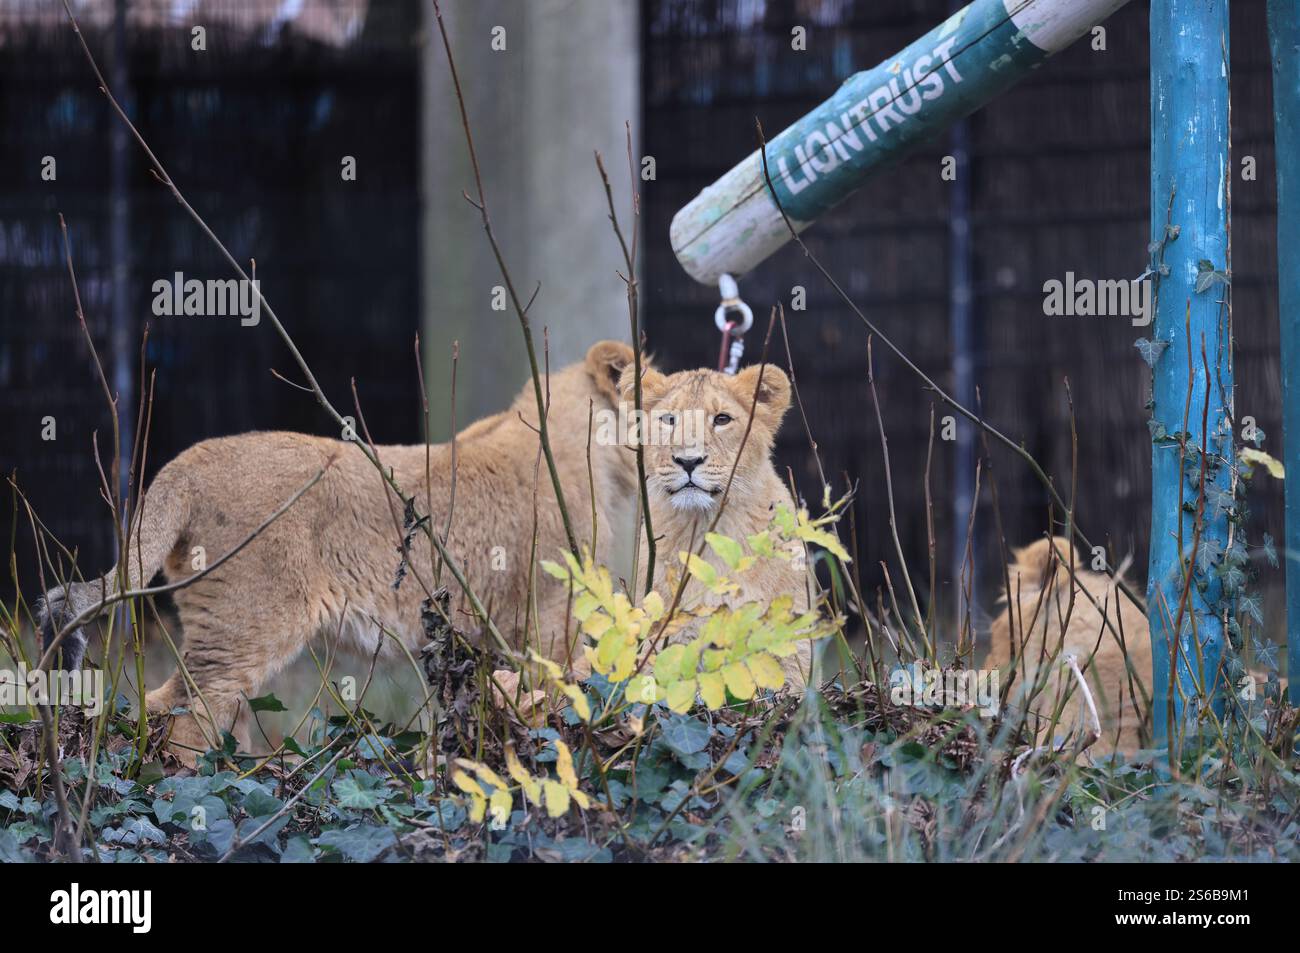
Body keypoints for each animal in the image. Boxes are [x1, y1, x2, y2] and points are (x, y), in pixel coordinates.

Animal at [37, 341, 640, 762]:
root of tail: (186, 463)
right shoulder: (549, 618)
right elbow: (558, 692)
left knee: (177, 709)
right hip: (245, 626)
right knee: (187, 712)